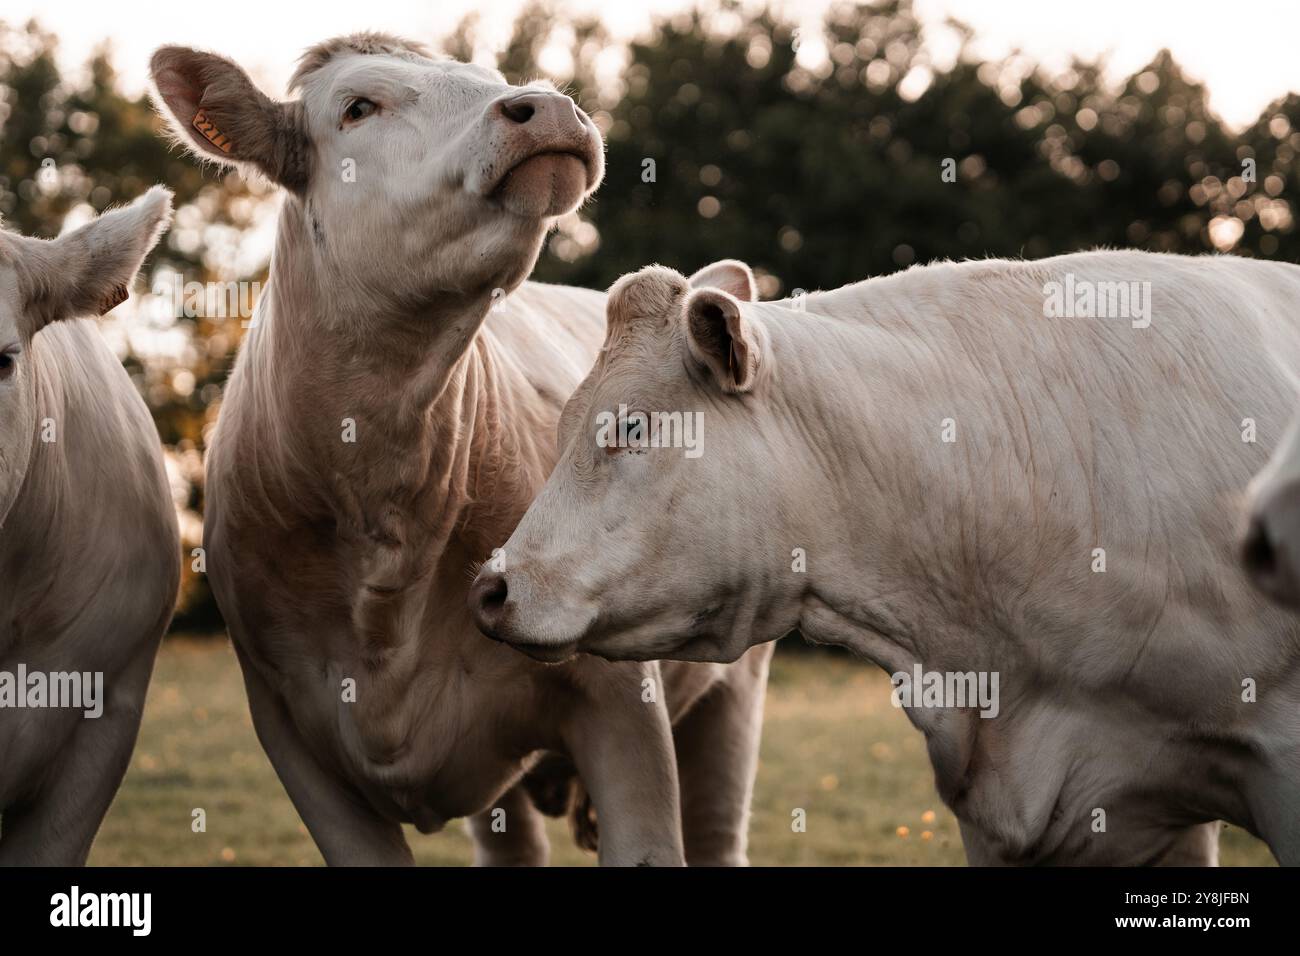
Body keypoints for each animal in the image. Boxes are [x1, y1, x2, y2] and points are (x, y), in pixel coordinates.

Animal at [148, 34, 772, 866]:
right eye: (358, 106)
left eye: (492, 80)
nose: (548, 106)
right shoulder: (295, 740)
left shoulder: (620, 704)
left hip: (734, 692)